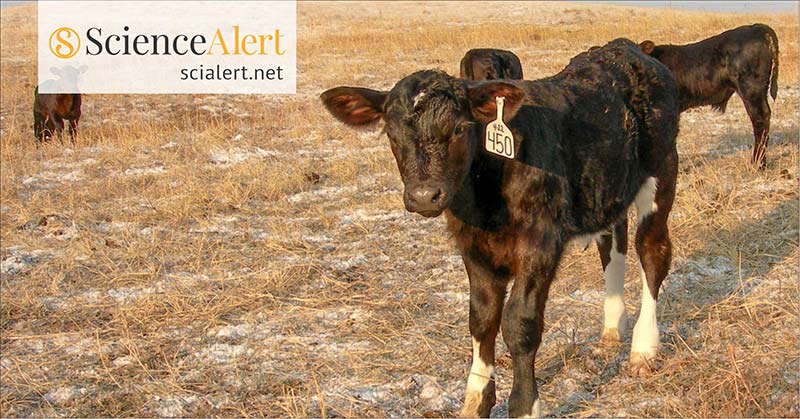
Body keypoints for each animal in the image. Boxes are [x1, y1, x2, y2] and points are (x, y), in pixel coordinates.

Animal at [321, 38, 679, 417]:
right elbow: (482, 319)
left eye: (460, 128)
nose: (424, 195)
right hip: (608, 188)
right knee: (613, 247)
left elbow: (519, 322)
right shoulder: (473, 247)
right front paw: (476, 400)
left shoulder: (540, 242)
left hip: (662, 173)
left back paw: (643, 349)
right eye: (391, 133)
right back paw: (612, 329)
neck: (485, 198)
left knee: (652, 253)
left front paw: (524, 405)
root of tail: (626, 48)